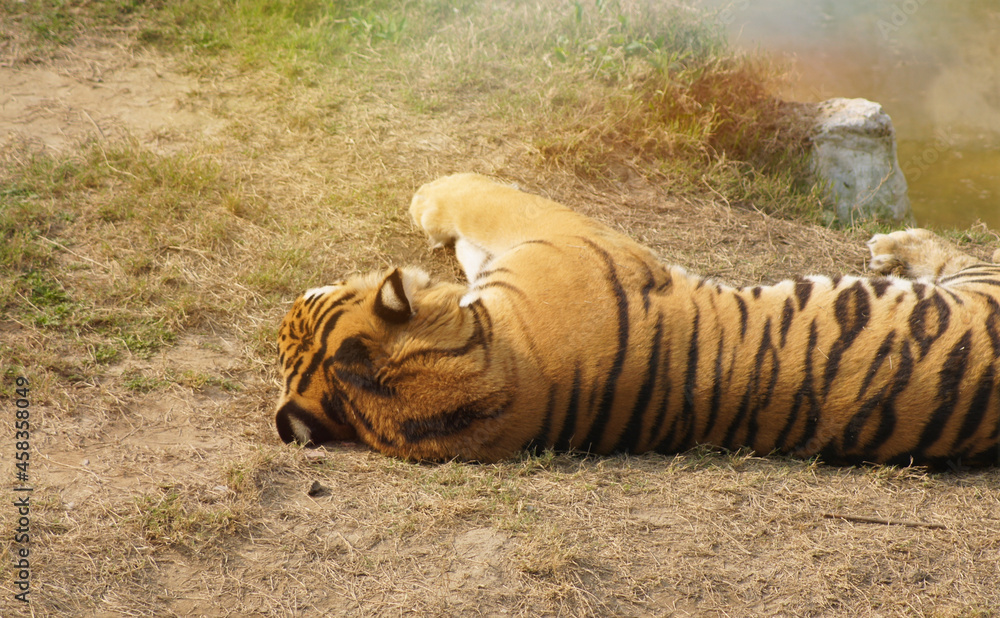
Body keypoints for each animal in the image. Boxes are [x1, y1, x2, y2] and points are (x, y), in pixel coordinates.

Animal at [275, 172, 1000, 467]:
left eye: (300, 317)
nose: (295, 293)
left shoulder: (544, 240)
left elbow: (483, 206)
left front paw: (429, 200)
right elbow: (484, 205)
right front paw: (434, 204)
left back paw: (890, 246)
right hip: (978, 285)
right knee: (959, 254)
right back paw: (892, 247)